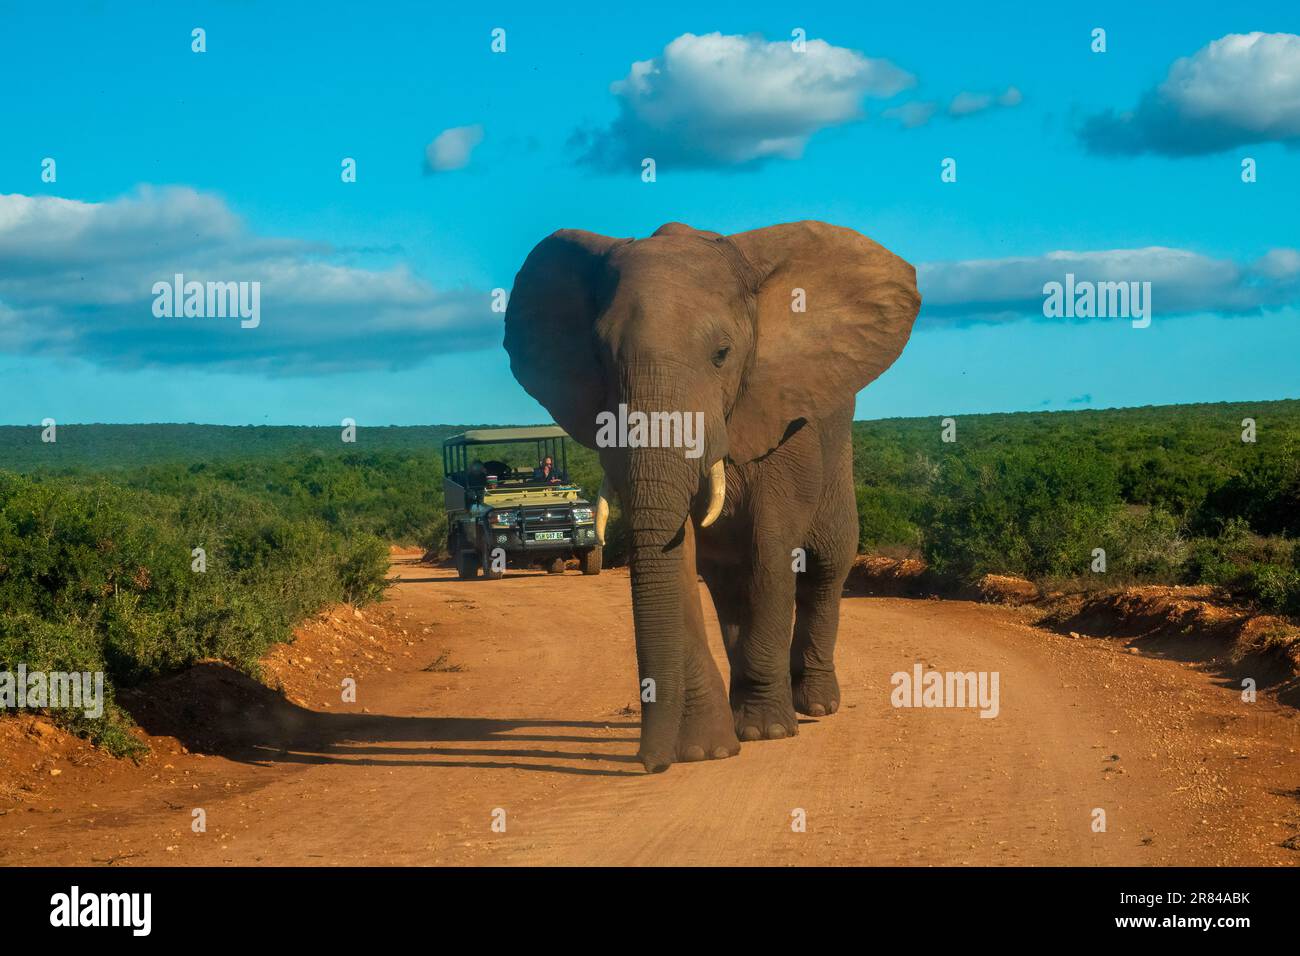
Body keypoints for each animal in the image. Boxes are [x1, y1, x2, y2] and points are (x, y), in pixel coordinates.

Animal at [504, 220, 920, 772]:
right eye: (602, 358)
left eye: (722, 355)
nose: (650, 762)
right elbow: (678, 557)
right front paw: (707, 749)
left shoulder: (780, 423)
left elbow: (771, 556)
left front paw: (766, 732)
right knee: (727, 583)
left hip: (837, 444)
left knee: (828, 561)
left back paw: (813, 705)